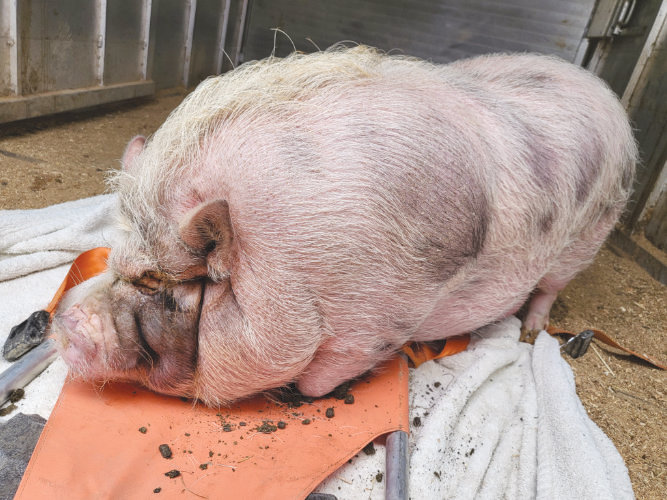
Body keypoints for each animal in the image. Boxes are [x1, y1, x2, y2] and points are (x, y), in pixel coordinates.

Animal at [53, 46, 636, 406]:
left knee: (550, 287)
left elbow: (319, 380)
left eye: (158, 283)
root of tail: (605, 93)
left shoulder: (382, 320)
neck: (293, 273)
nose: (64, 320)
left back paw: (533, 330)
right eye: (116, 263)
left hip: (589, 235)